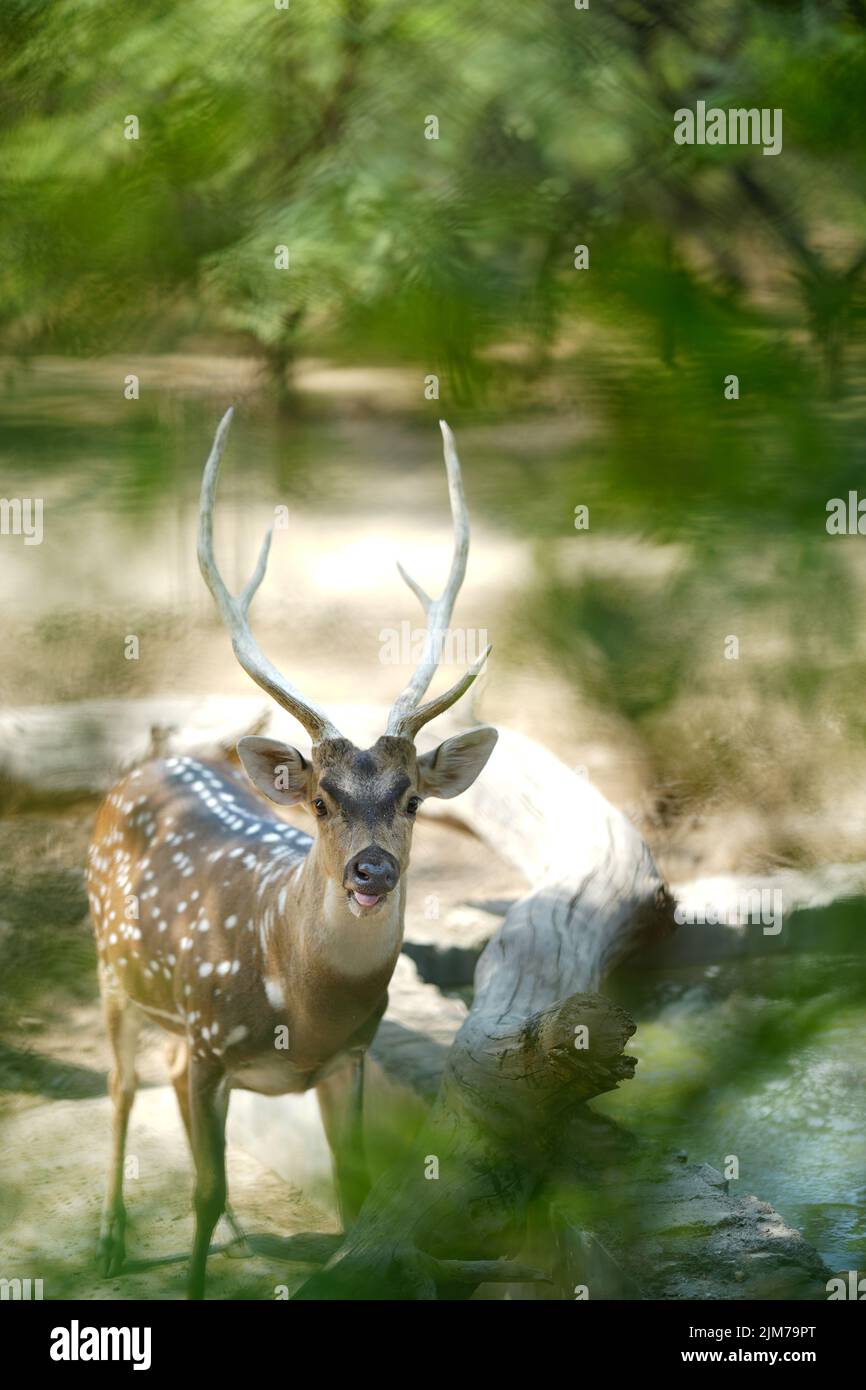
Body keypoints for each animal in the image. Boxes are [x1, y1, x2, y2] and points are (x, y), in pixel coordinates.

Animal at [87, 409, 497, 1299]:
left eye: (413, 798)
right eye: (320, 801)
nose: (371, 870)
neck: (298, 1005)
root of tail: (149, 762)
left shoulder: (350, 1057)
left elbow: (352, 1189)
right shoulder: (210, 1043)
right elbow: (206, 1192)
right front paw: (194, 1277)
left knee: (154, 1073)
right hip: (110, 965)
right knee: (121, 1086)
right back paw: (109, 1238)